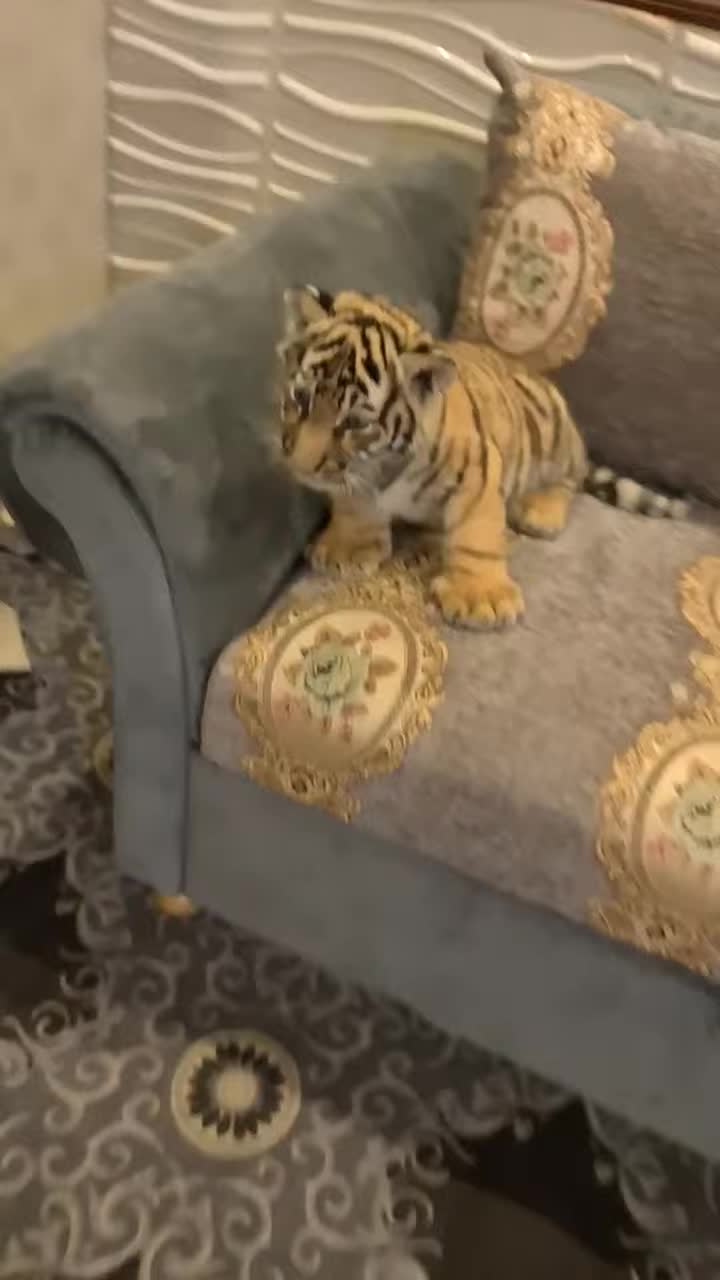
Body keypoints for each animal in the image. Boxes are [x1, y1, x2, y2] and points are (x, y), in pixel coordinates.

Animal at [278, 286, 687, 629]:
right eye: (301, 398)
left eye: (356, 422)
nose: (300, 466)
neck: (384, 467)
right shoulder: (357, 477)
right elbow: (353, 501)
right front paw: (347, 547)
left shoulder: (477, 468)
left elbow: (476, 530)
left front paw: (479, 597)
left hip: (553, 435)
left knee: (567, 479)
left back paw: (540, 510)